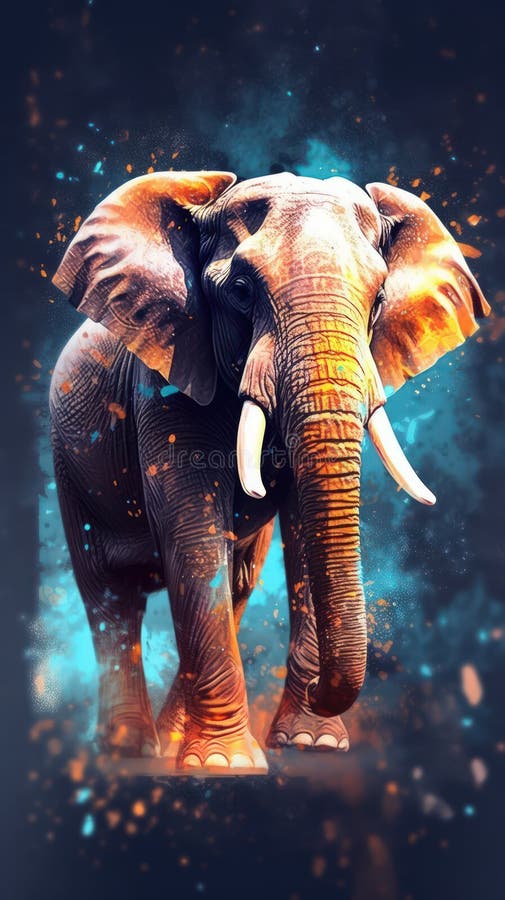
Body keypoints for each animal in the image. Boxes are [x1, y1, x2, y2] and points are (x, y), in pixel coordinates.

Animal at [50, 170, 489, 773]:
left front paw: (312, 743)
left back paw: (172, 740)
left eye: (378, 300)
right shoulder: (163, 375)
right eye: (240, 291)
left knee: (236, 580)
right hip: (69, 465)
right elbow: (191, 529)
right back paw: (132, 749)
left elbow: (302, 530)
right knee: (109, 595)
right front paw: (226, 765)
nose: (325, 693)